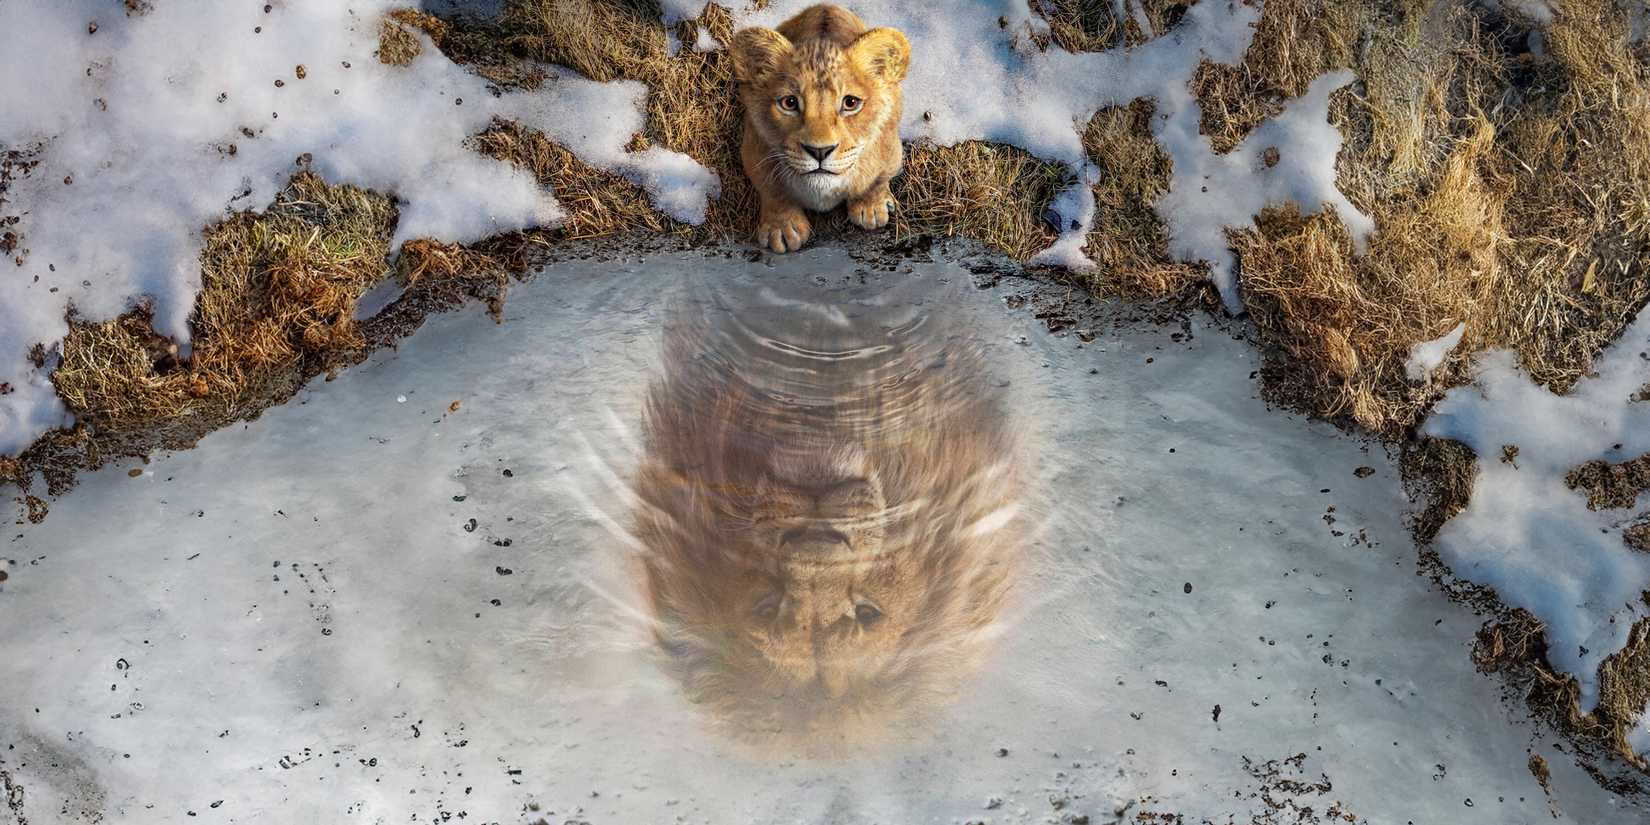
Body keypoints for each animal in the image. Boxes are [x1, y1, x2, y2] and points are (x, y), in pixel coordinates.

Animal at [730, 4, 911, 254]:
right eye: (789, 103)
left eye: (850, 103)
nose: (819, 151)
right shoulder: (754, 150)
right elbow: (772, 190)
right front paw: (782, 228)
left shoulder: (891, 150)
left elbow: (876, 180)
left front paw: (871, 208)